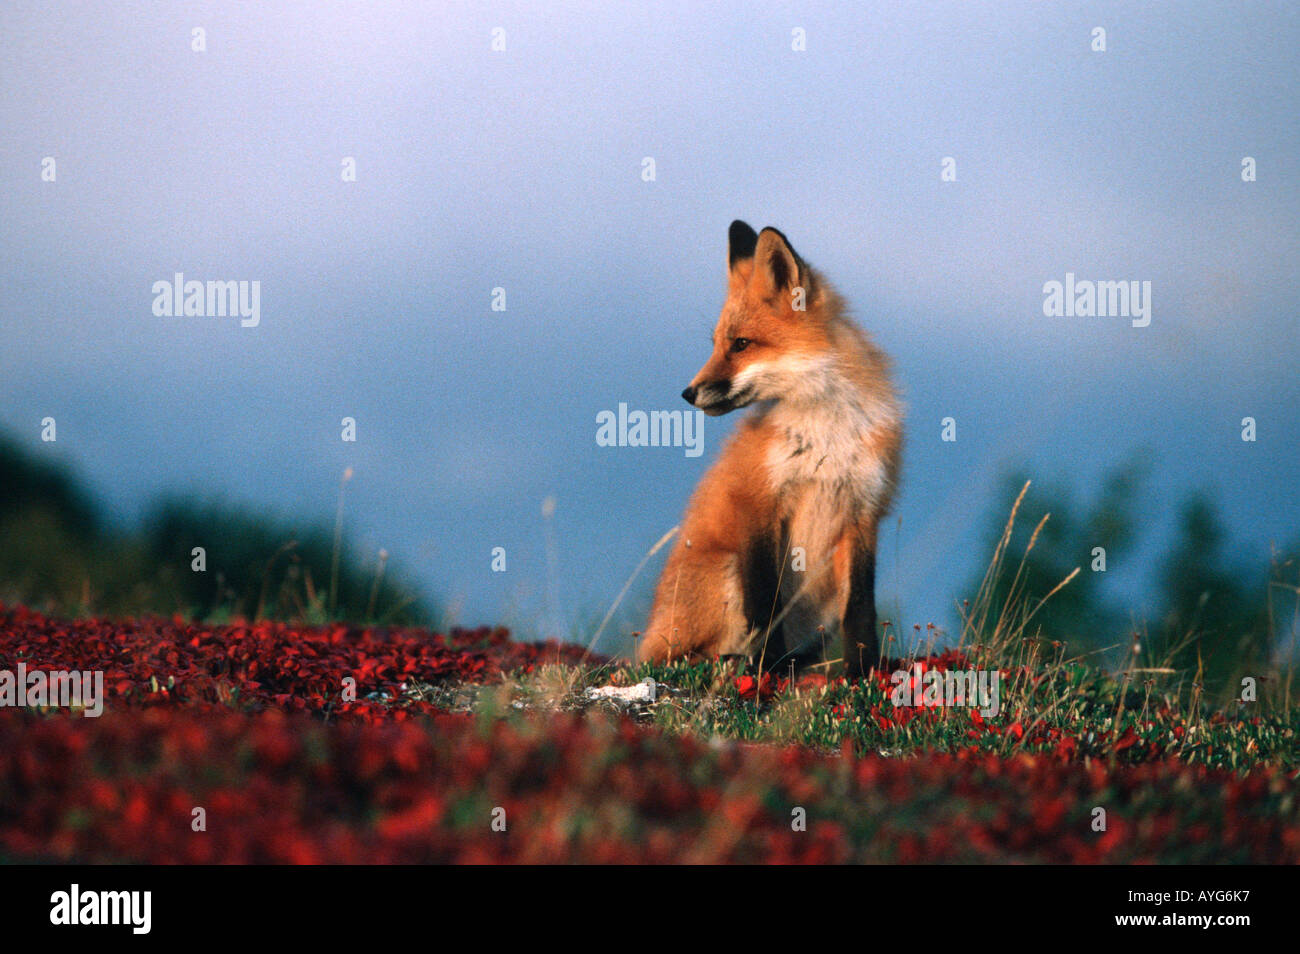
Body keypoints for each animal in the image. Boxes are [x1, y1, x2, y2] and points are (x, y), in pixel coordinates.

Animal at [637, 220, 903, 679]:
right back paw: (735, 662)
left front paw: (863, 671)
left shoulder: (863, 513)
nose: (687, 393)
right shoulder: (757, 503)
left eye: (741, 344)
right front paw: (767, 669)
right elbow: (765, 602)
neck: (826, 434)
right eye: (716, 344)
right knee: (673, 657)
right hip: (723, 571)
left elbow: (861, 610)